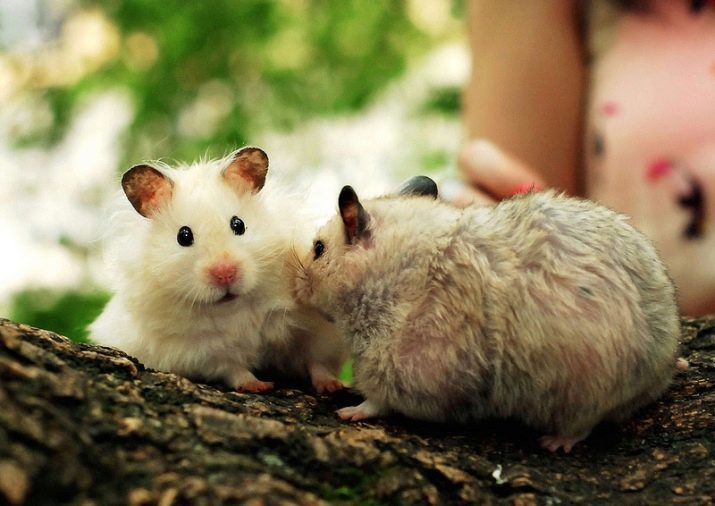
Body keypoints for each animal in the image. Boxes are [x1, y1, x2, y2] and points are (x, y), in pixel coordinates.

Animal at [89, 148, 346, 394]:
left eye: (238, 224)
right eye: (183, 236)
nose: (225, 273)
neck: (238, 307)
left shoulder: (314, 331)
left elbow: (316, 361)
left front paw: (332, 386)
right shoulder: (203, 350)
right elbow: (233, 369)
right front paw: (258, 386)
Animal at [296, 177, 684, 450]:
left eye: (318, 249)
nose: (298, 290)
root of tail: (657, 368)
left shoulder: (406, 367)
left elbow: (378, 400)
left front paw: (348, 412)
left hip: (582, 387)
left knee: (585, 423)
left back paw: (556, 443)